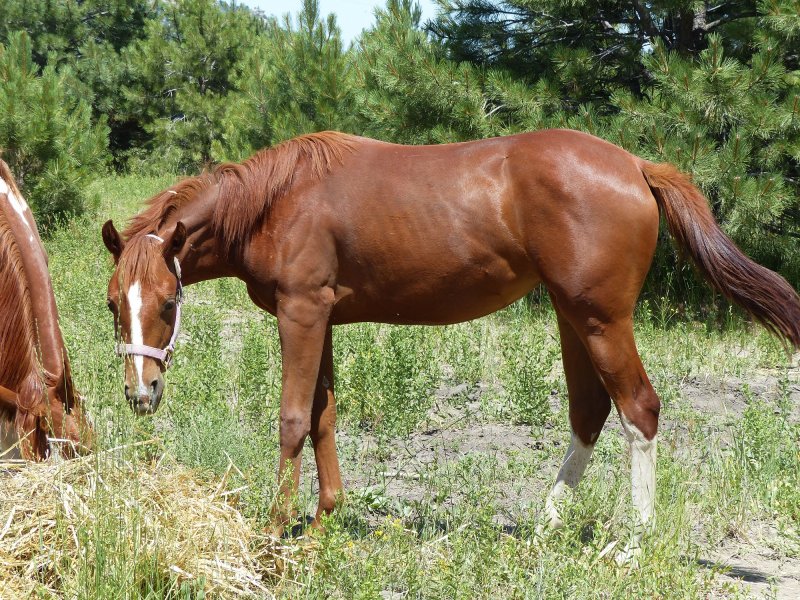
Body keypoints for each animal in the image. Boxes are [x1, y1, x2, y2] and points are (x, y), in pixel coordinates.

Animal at [101, 129, 800, 560]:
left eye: (168, 303)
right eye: (112, 303)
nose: (141, 392)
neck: (280, 200)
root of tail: (636, 165)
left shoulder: (301, 314)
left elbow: (294, 418)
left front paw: (274, 528)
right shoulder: (321, 318)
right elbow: (326, 416)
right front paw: (325, 519)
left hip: (602, 321)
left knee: (638, 410)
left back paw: (631, 543)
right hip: (573, 318)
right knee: (590, 412)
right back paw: (543, 526)